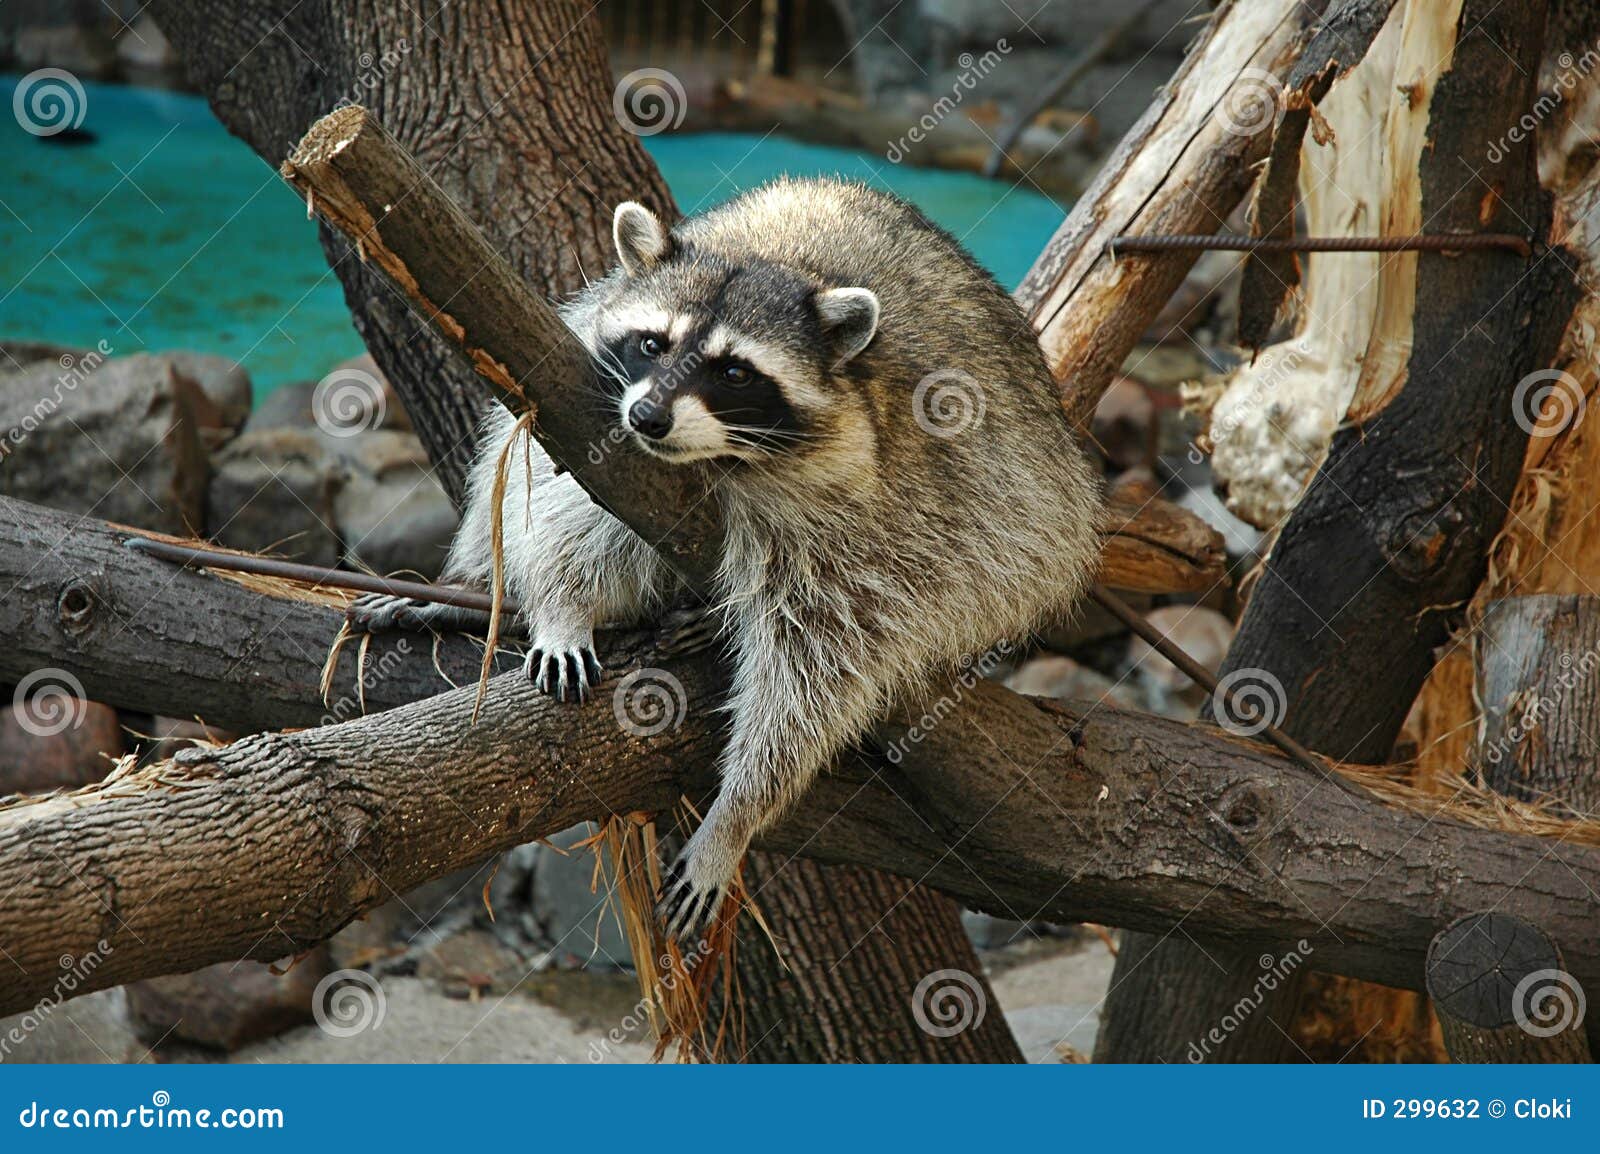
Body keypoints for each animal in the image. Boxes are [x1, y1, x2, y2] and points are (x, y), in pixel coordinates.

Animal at [351, 178, 1102, 939]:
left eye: (735, 372)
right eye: (652, 343)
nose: (650, 417)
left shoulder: (884, 511)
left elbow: (817, 670)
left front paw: (737, 813)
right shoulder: (598, 429)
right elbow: (573, 511)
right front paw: (563, 607)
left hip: (1028, 519)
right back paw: (477, 588)